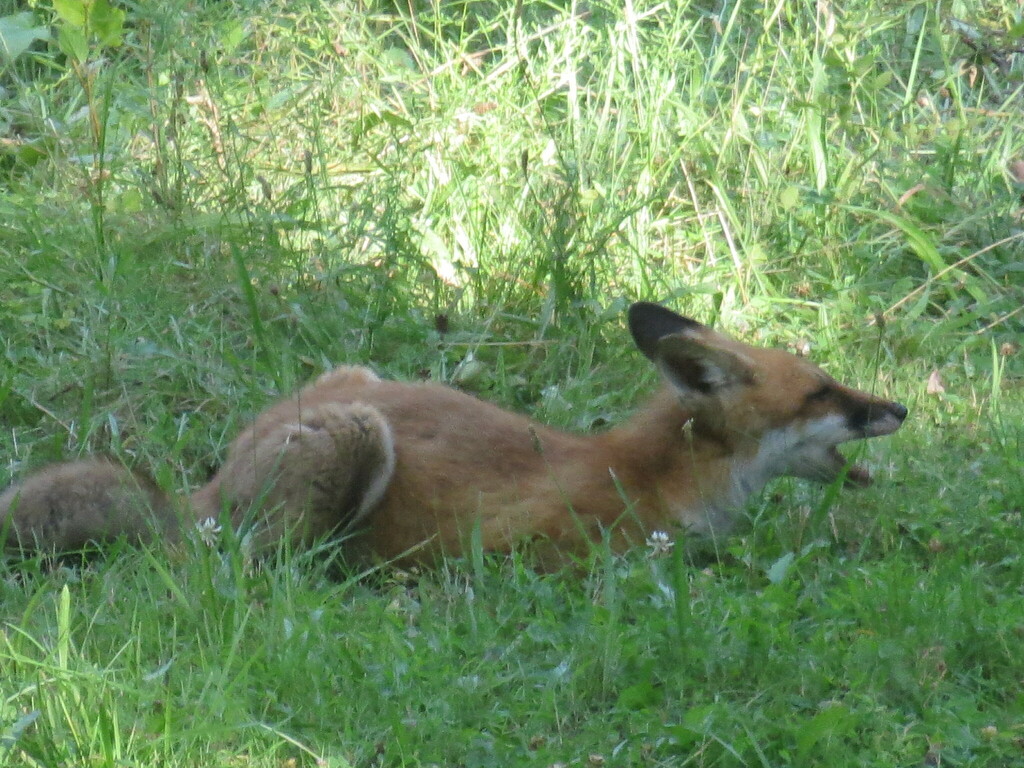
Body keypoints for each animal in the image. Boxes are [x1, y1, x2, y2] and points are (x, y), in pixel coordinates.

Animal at [0, 302, 907, 565]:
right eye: (823, 390)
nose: (900, 410)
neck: (656, 477)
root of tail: (211, 484)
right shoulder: (561, 557)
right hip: (355, 434)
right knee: (249, 566)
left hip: (357, 379)